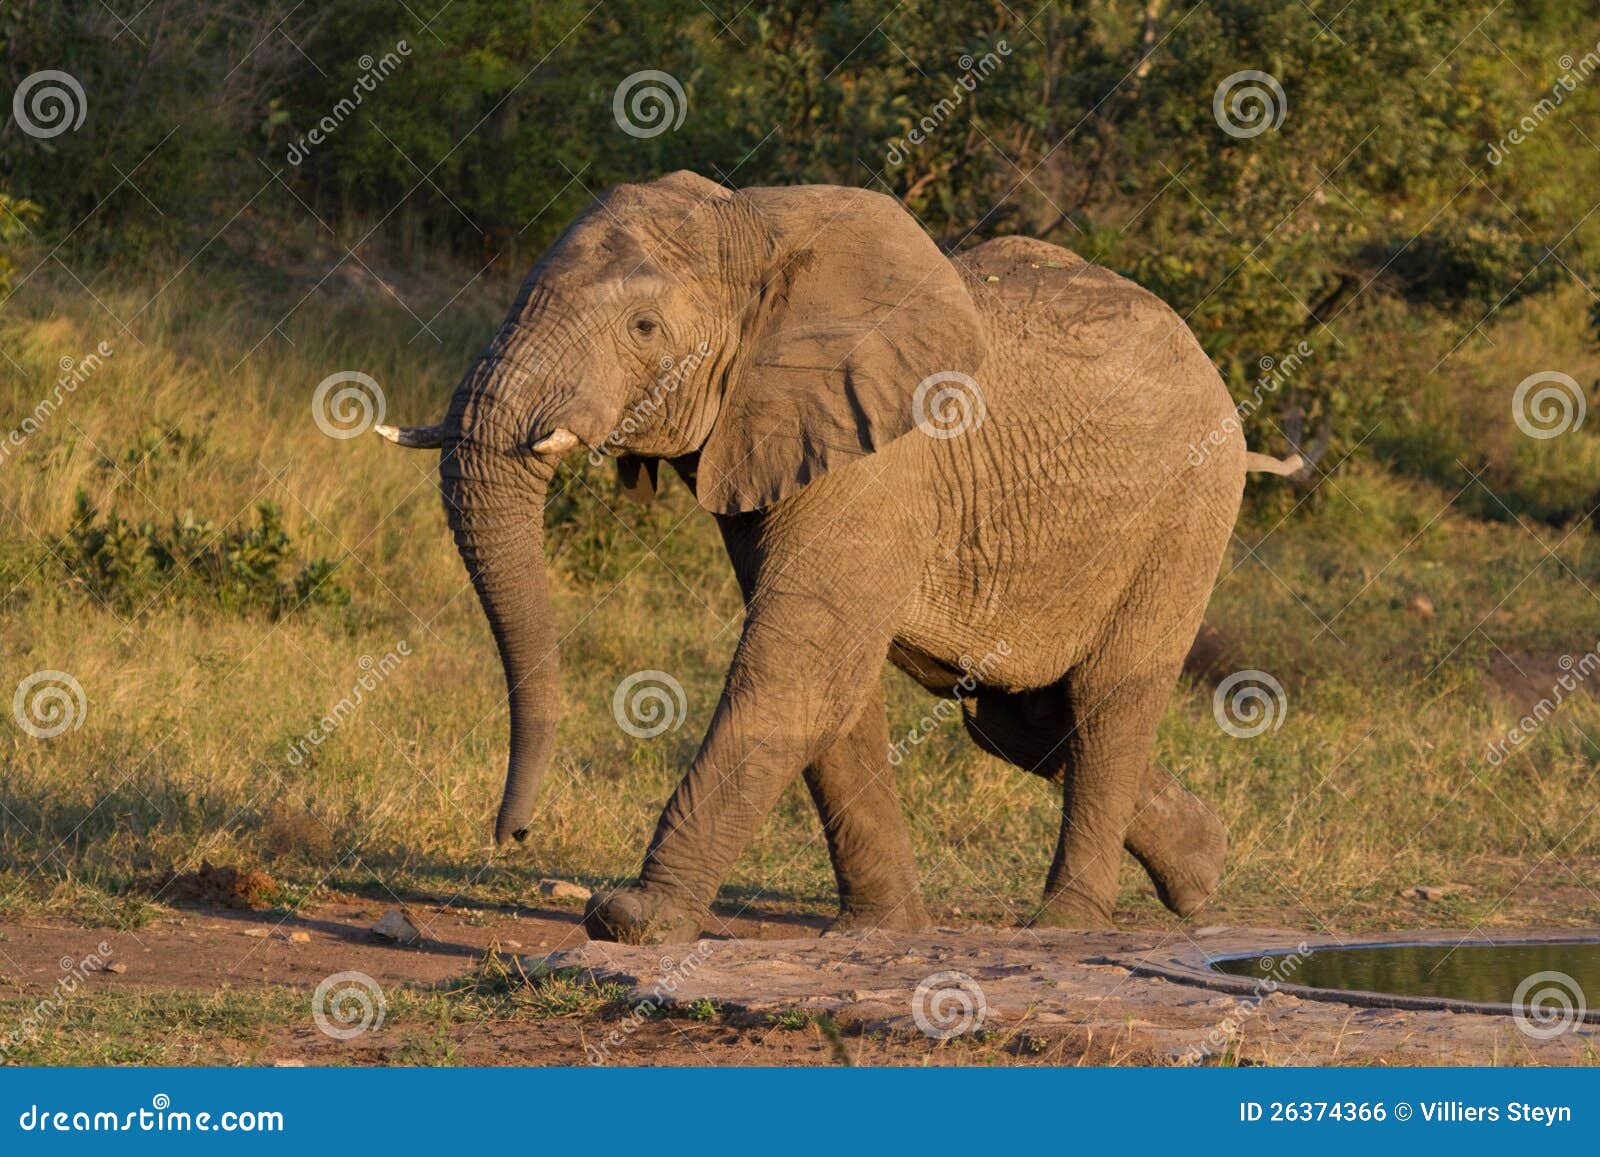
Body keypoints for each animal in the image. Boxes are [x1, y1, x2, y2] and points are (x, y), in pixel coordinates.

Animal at [378, 170, 1295, 944]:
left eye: (643, 329)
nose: (514, 832)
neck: (755, 228)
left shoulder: (875, 459)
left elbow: (798, 663)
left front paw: (631, 920)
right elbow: (837, 682)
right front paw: (879, 933)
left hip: (1188, 507)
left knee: (1108, 703)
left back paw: (1066, 926)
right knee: (1020, 720)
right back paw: (1203, 867)